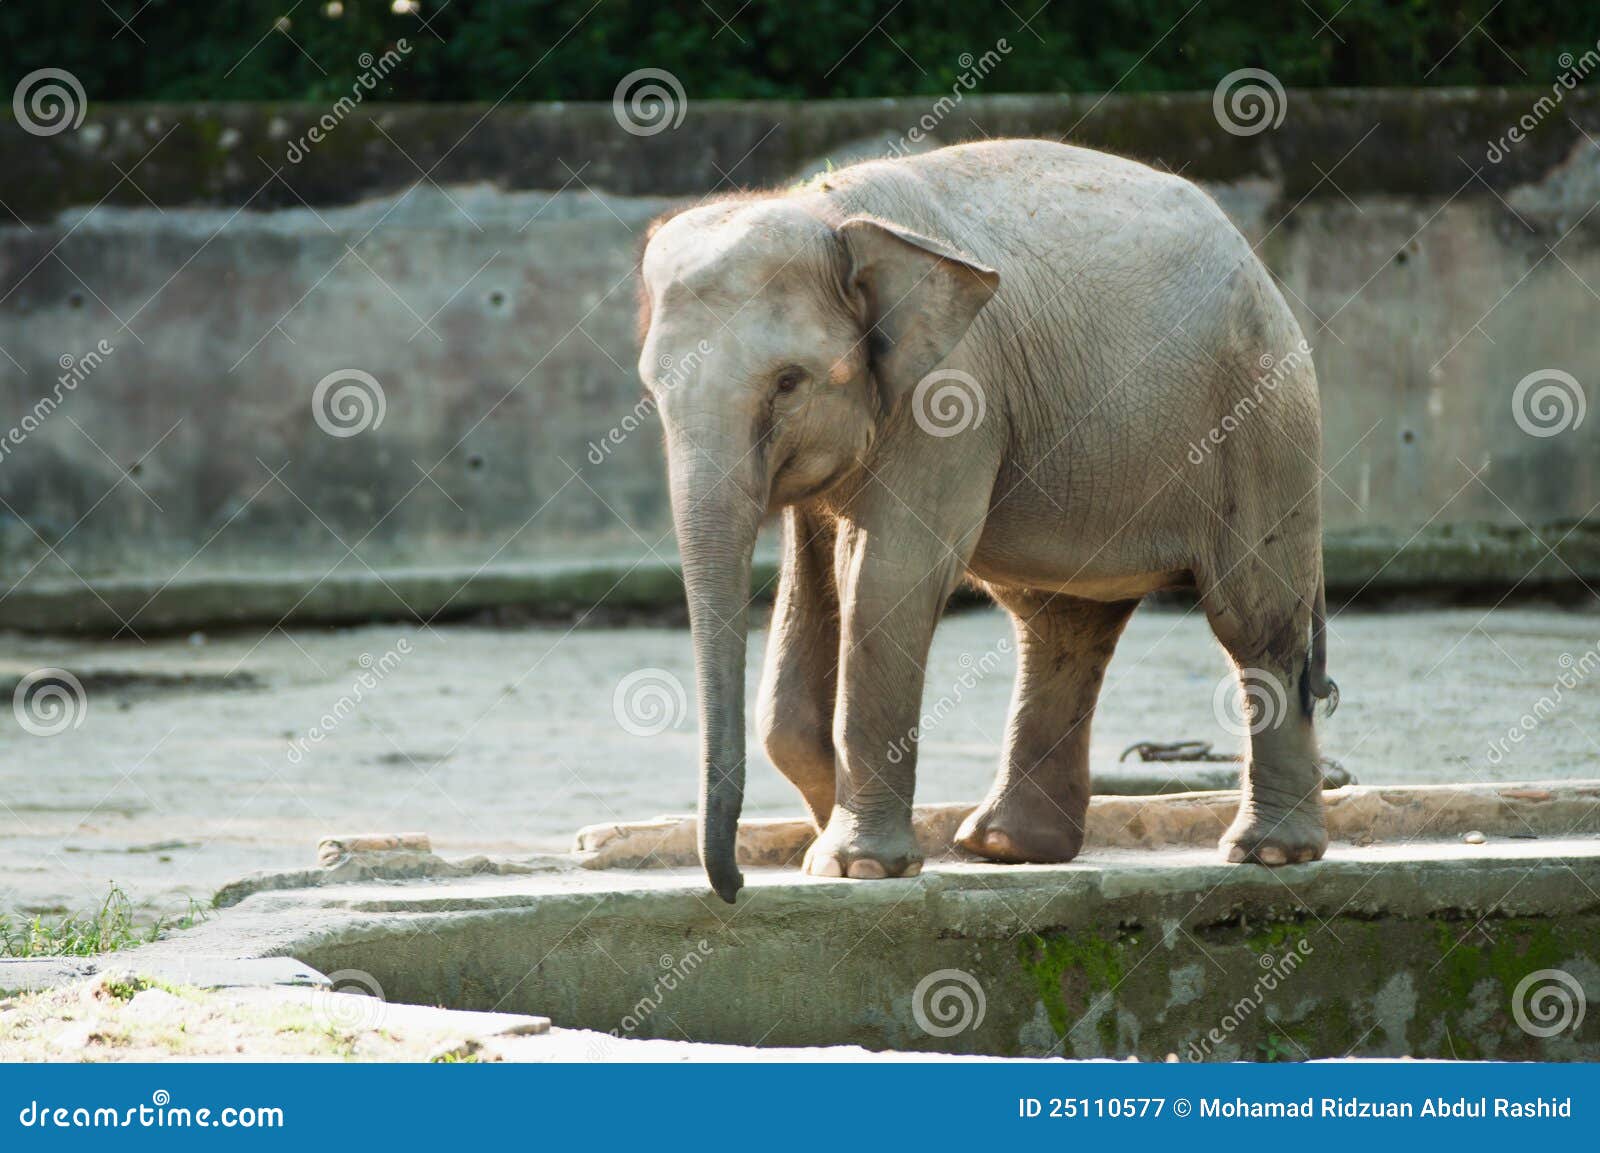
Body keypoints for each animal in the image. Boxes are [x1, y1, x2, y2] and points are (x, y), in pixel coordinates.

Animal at [634, 138, 1338, 903]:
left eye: (788, 381)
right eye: (651, 387)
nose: (732, 887)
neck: (829, 212)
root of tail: (1258, 265)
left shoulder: (951, 393)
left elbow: (888, 578)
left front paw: (857, 866)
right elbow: (811, 591)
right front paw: (829, 837)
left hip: (1263, 420)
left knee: (1254, 617)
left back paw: (1268, 853)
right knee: (1061, 624)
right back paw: (1006, 846)